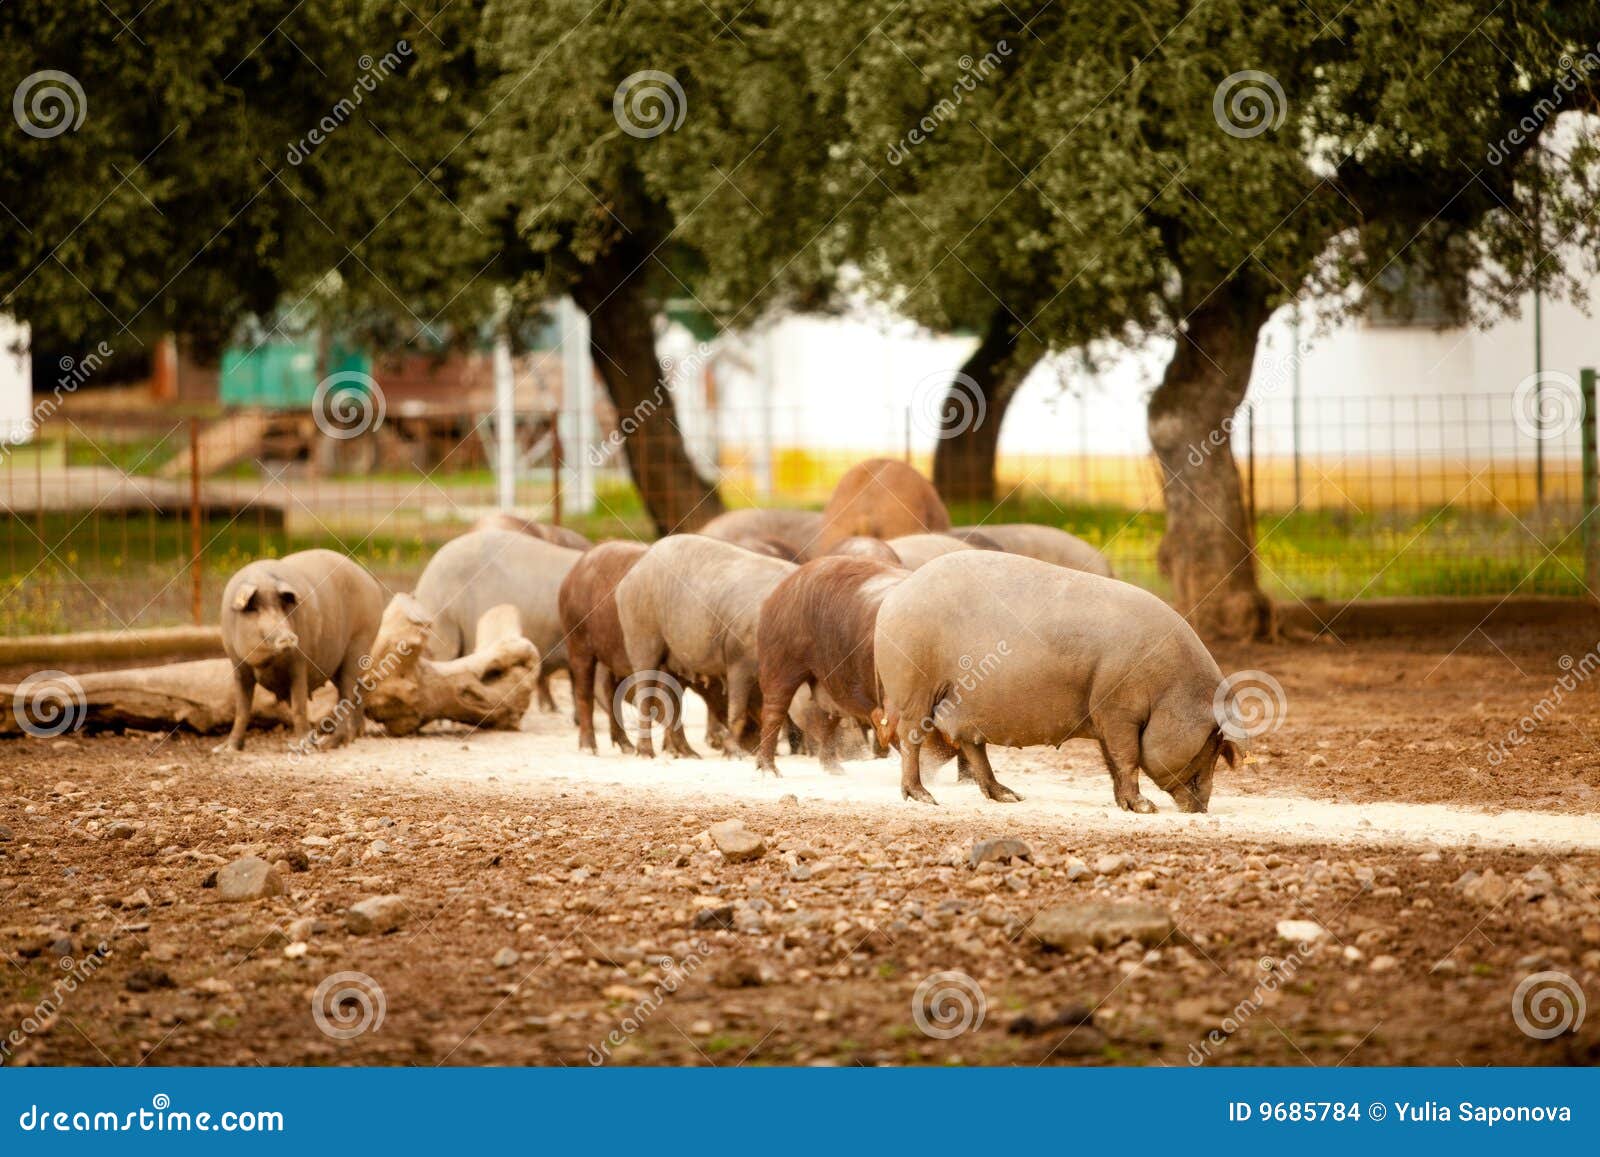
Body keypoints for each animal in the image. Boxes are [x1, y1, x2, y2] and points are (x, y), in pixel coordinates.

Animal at [216, 549, 384, 752]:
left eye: (282, 607)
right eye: (254, 609)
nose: (289, 636)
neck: (266, 663)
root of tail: (372, 583)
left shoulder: (299, 662)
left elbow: (298, 705)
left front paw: (305, 749)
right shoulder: (238, 665)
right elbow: (242, 710)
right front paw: (226, 749)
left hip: (360, 642)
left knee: (346, 694)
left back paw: (328, 744)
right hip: (337, 663)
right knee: (358, 689)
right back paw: (354, 737)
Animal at [615, 534, 796, 755]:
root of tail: (628, 578)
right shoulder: (739, 663)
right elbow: (738, 711)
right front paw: (734, 752)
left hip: (673, 658)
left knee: (672, 699)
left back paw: (688, 753)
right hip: (642, 639)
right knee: (645, 691)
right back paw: (646, 752)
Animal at [874, 551, 1238, 810]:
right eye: (1213, 744)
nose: (1203, 808)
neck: (1169, 689)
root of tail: (893, 597)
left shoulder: (1103, 714)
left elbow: (1113, 760)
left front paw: (1124, 805)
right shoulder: (1119, 712)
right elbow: (1127, 757)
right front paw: (1145, 807)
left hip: (962, 703)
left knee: (972, 746)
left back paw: (1009, 796)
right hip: (915, 690)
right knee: (910, 738)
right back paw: (924, 797)